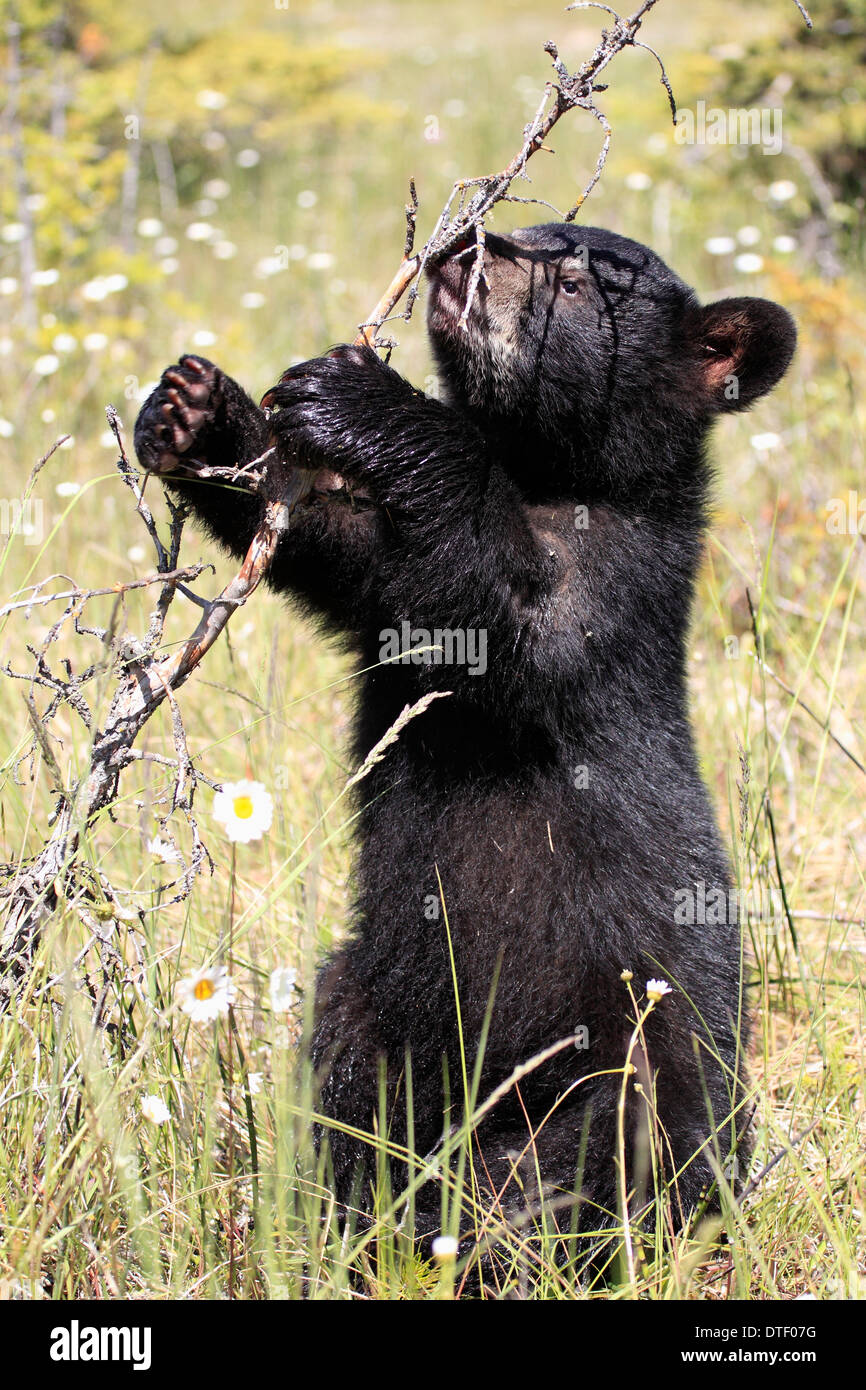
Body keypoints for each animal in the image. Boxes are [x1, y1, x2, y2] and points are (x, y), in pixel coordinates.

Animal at [134, 223, 796, 1272]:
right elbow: (343, 548)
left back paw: (498, 1235)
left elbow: (511, 613)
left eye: (575, 280)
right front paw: (202, 414)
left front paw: (364, 397)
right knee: (348, 1079)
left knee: (592, 1155)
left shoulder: (612, 585)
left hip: (626, 1055)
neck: (552, 478)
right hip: (373, 999)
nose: (464, 247)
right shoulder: (394, 596)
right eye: (540, 234)